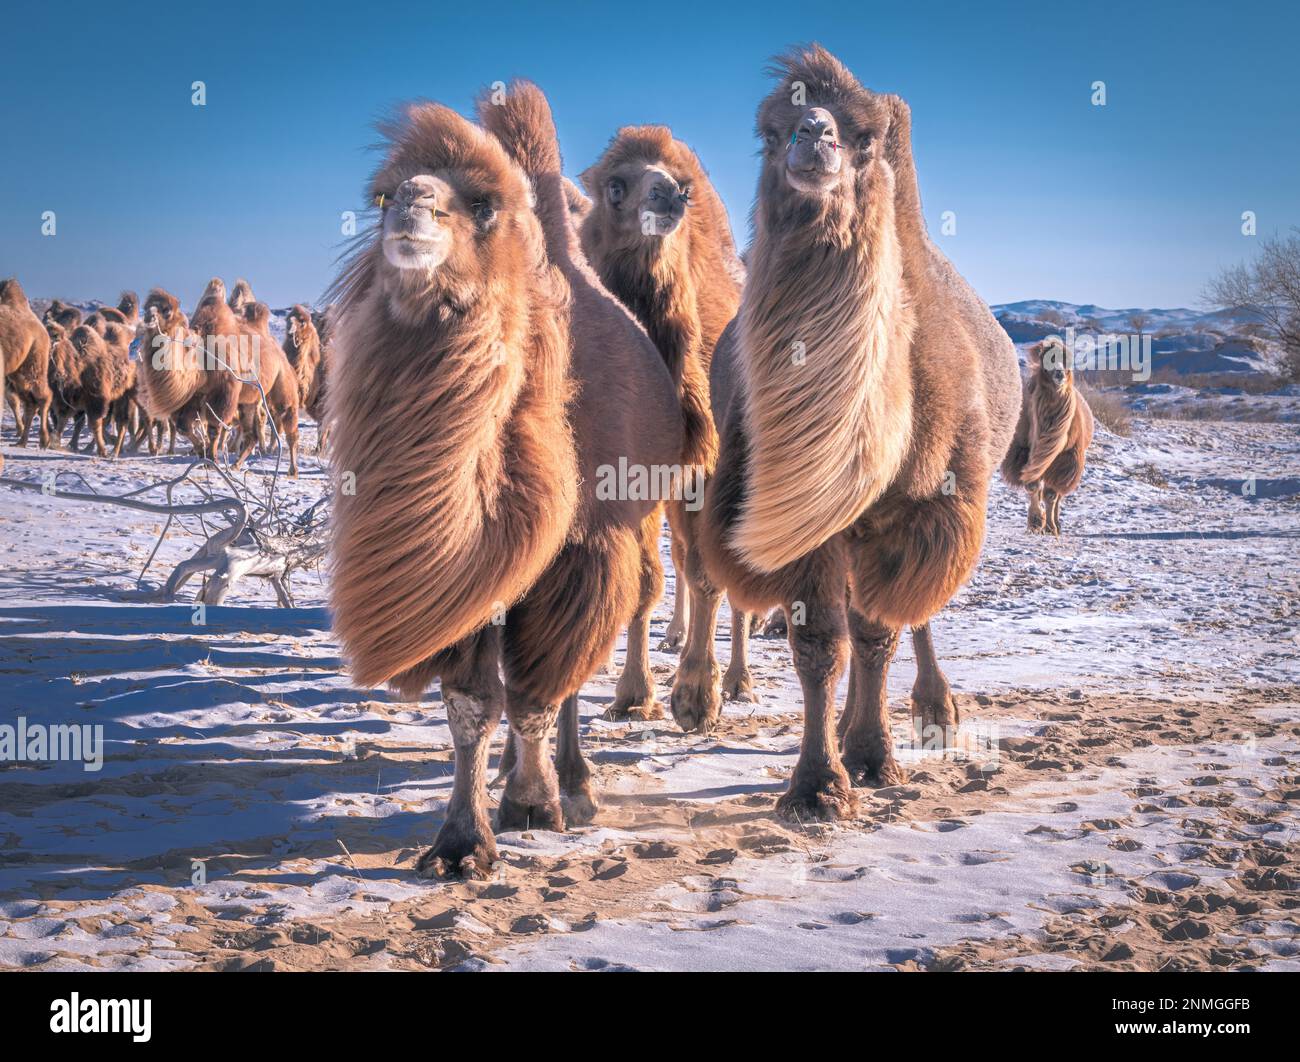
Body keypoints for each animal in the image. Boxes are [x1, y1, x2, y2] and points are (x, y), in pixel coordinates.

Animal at [0, 278, 53, 453]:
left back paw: (44, 441)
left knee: (42, 396)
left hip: (35, 358)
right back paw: (21, 442)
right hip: (17, 371)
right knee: (29, 401)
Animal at [326, 84, 682, 877]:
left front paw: (533, 803)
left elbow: (536, 694)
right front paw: (462, 839)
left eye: (483, 204)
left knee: (569, 674)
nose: (410, 209)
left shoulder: (580, 551)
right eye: (384, 194)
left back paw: (574, 783)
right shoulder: (469, 578)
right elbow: (471, 705)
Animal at [578, 126, 760, 716]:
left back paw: (739, 679)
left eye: (681, 182)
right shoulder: (623, 472)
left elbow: (706, 574)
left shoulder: (705, 465)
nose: (669, 195)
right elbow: (642, 582)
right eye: (615, 186)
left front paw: (696, 694)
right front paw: (633, 693)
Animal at [696, 46, 1020, 820]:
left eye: (865, 136)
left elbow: (877, 633)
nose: (813, 134)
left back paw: (932, 712)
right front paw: (818, 783)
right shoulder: (801, 522)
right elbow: (819, 644)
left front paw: (873, 758)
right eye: (769, 130)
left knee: (913, 614)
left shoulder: (910, 514)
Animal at [1001, 338, 1095, 534]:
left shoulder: (1065, 459)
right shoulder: (1024, 453)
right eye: (1048, 359)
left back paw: (1056, 524)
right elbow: (1032, 486)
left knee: (1057, 495)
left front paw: (1050, 526)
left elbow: (1051, 494)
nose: (1059, 373)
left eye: (1066, 360)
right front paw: (1036, 522)